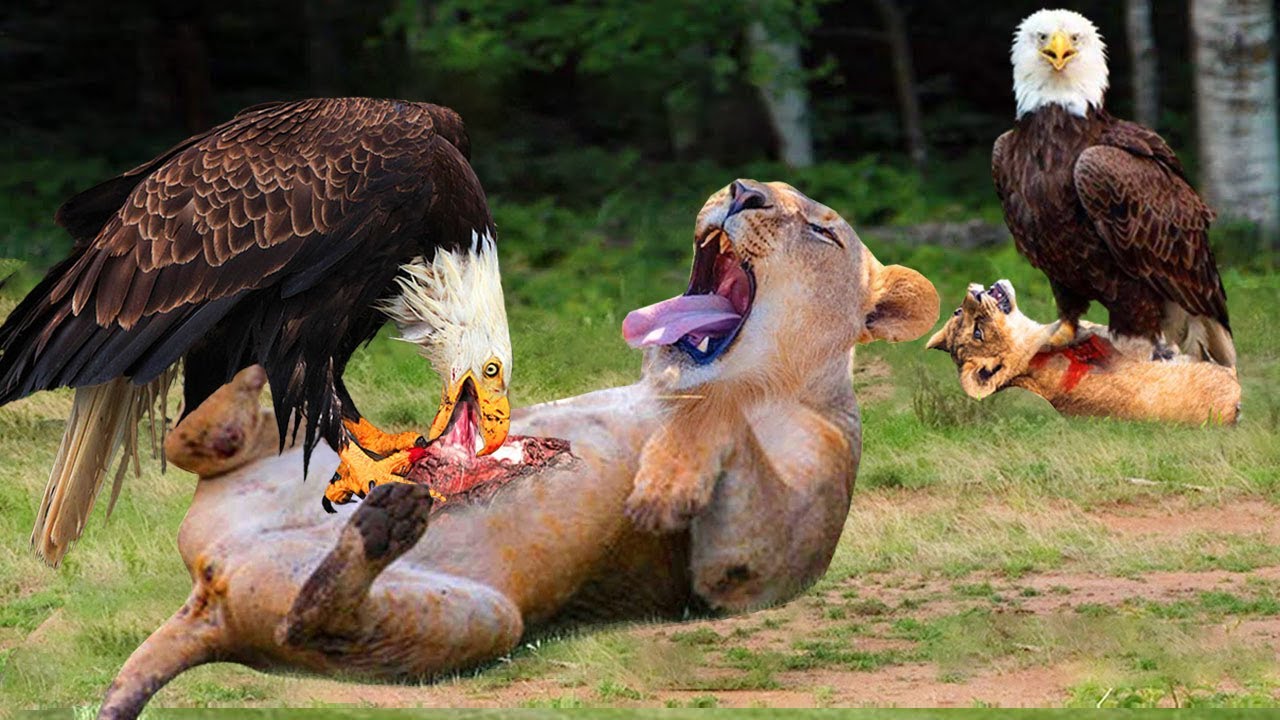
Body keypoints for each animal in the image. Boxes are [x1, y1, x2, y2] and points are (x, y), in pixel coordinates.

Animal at [98, 180, 939, 719]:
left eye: (822, 229)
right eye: (754, 183)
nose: (742, 193)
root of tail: (207, 588)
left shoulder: (751, 574)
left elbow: (718, 417)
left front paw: (664, 483)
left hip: (484, 618)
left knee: (306, 623)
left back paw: (382, 524)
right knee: (192, 443)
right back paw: (256, 376)